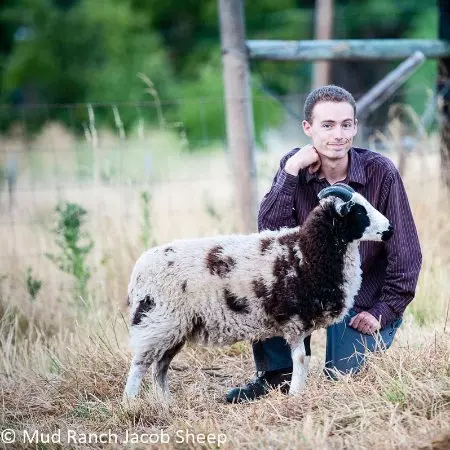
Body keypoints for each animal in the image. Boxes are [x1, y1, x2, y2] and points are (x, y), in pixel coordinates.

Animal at [121, 185, 392, 402]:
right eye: (359, 211)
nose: (389, 230)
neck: (306, 252)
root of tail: (137, 272)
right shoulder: (295, 319)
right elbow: (300, 359)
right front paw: (295, 395)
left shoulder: (303, 321)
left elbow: (304, 358)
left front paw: (298, 392)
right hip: (158, 322)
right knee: (140, 365)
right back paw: (131, 404)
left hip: (176, 328)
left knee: (160, 367)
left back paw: (166, 403)